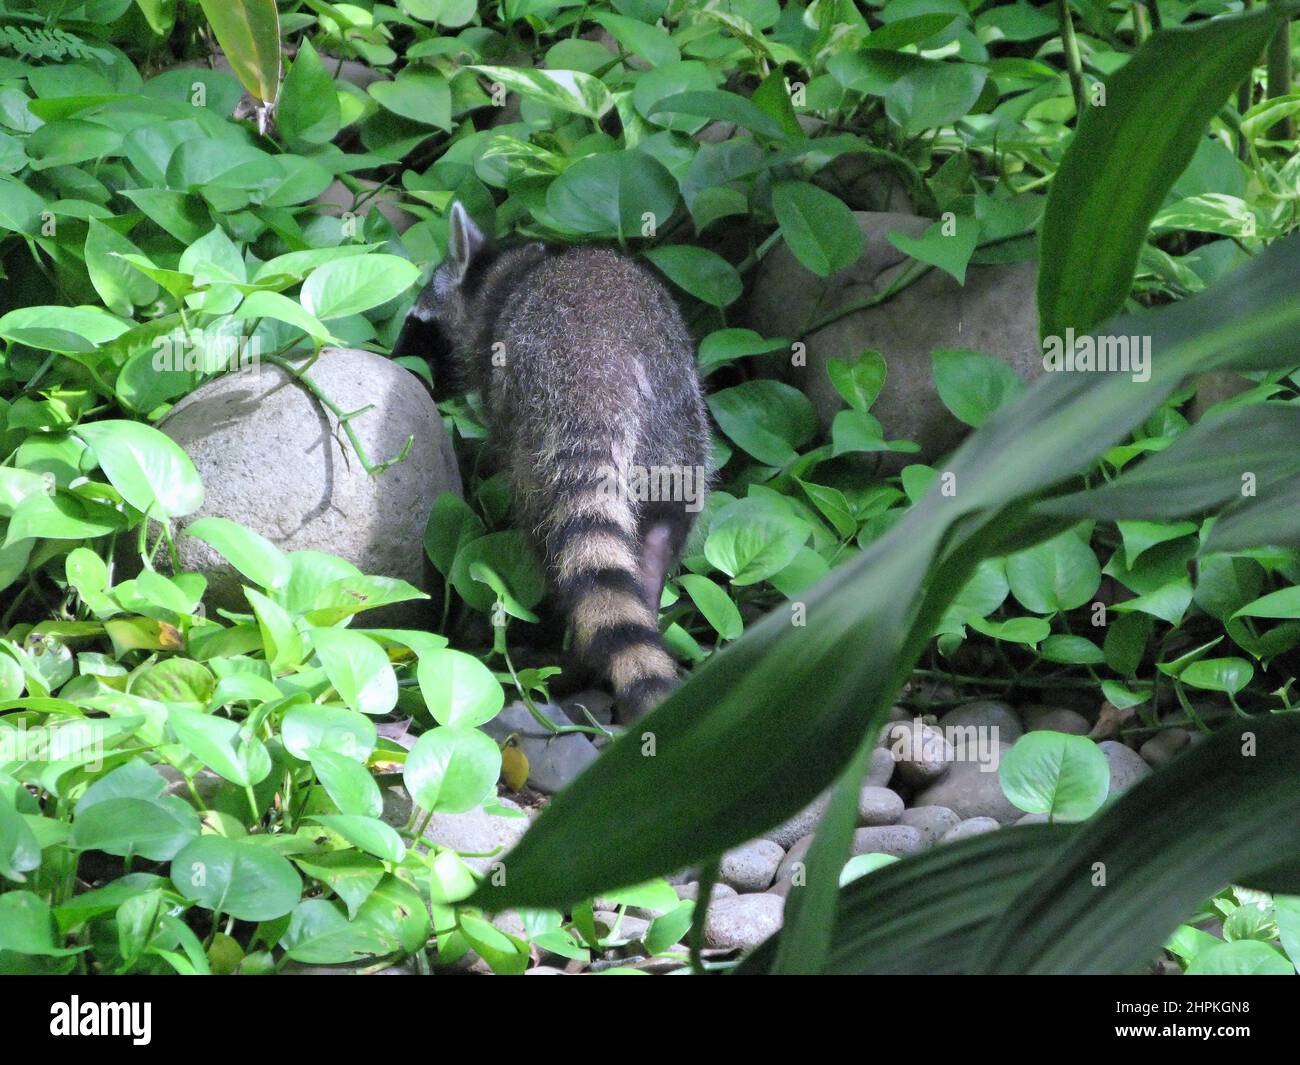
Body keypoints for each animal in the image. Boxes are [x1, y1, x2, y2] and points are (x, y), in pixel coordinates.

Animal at [395, 203, 711, 722]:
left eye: (416, 324)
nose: (395, 357)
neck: (504, 270)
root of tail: (605, 371)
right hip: (680, 437)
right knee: (658, 534)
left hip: (541, 432)